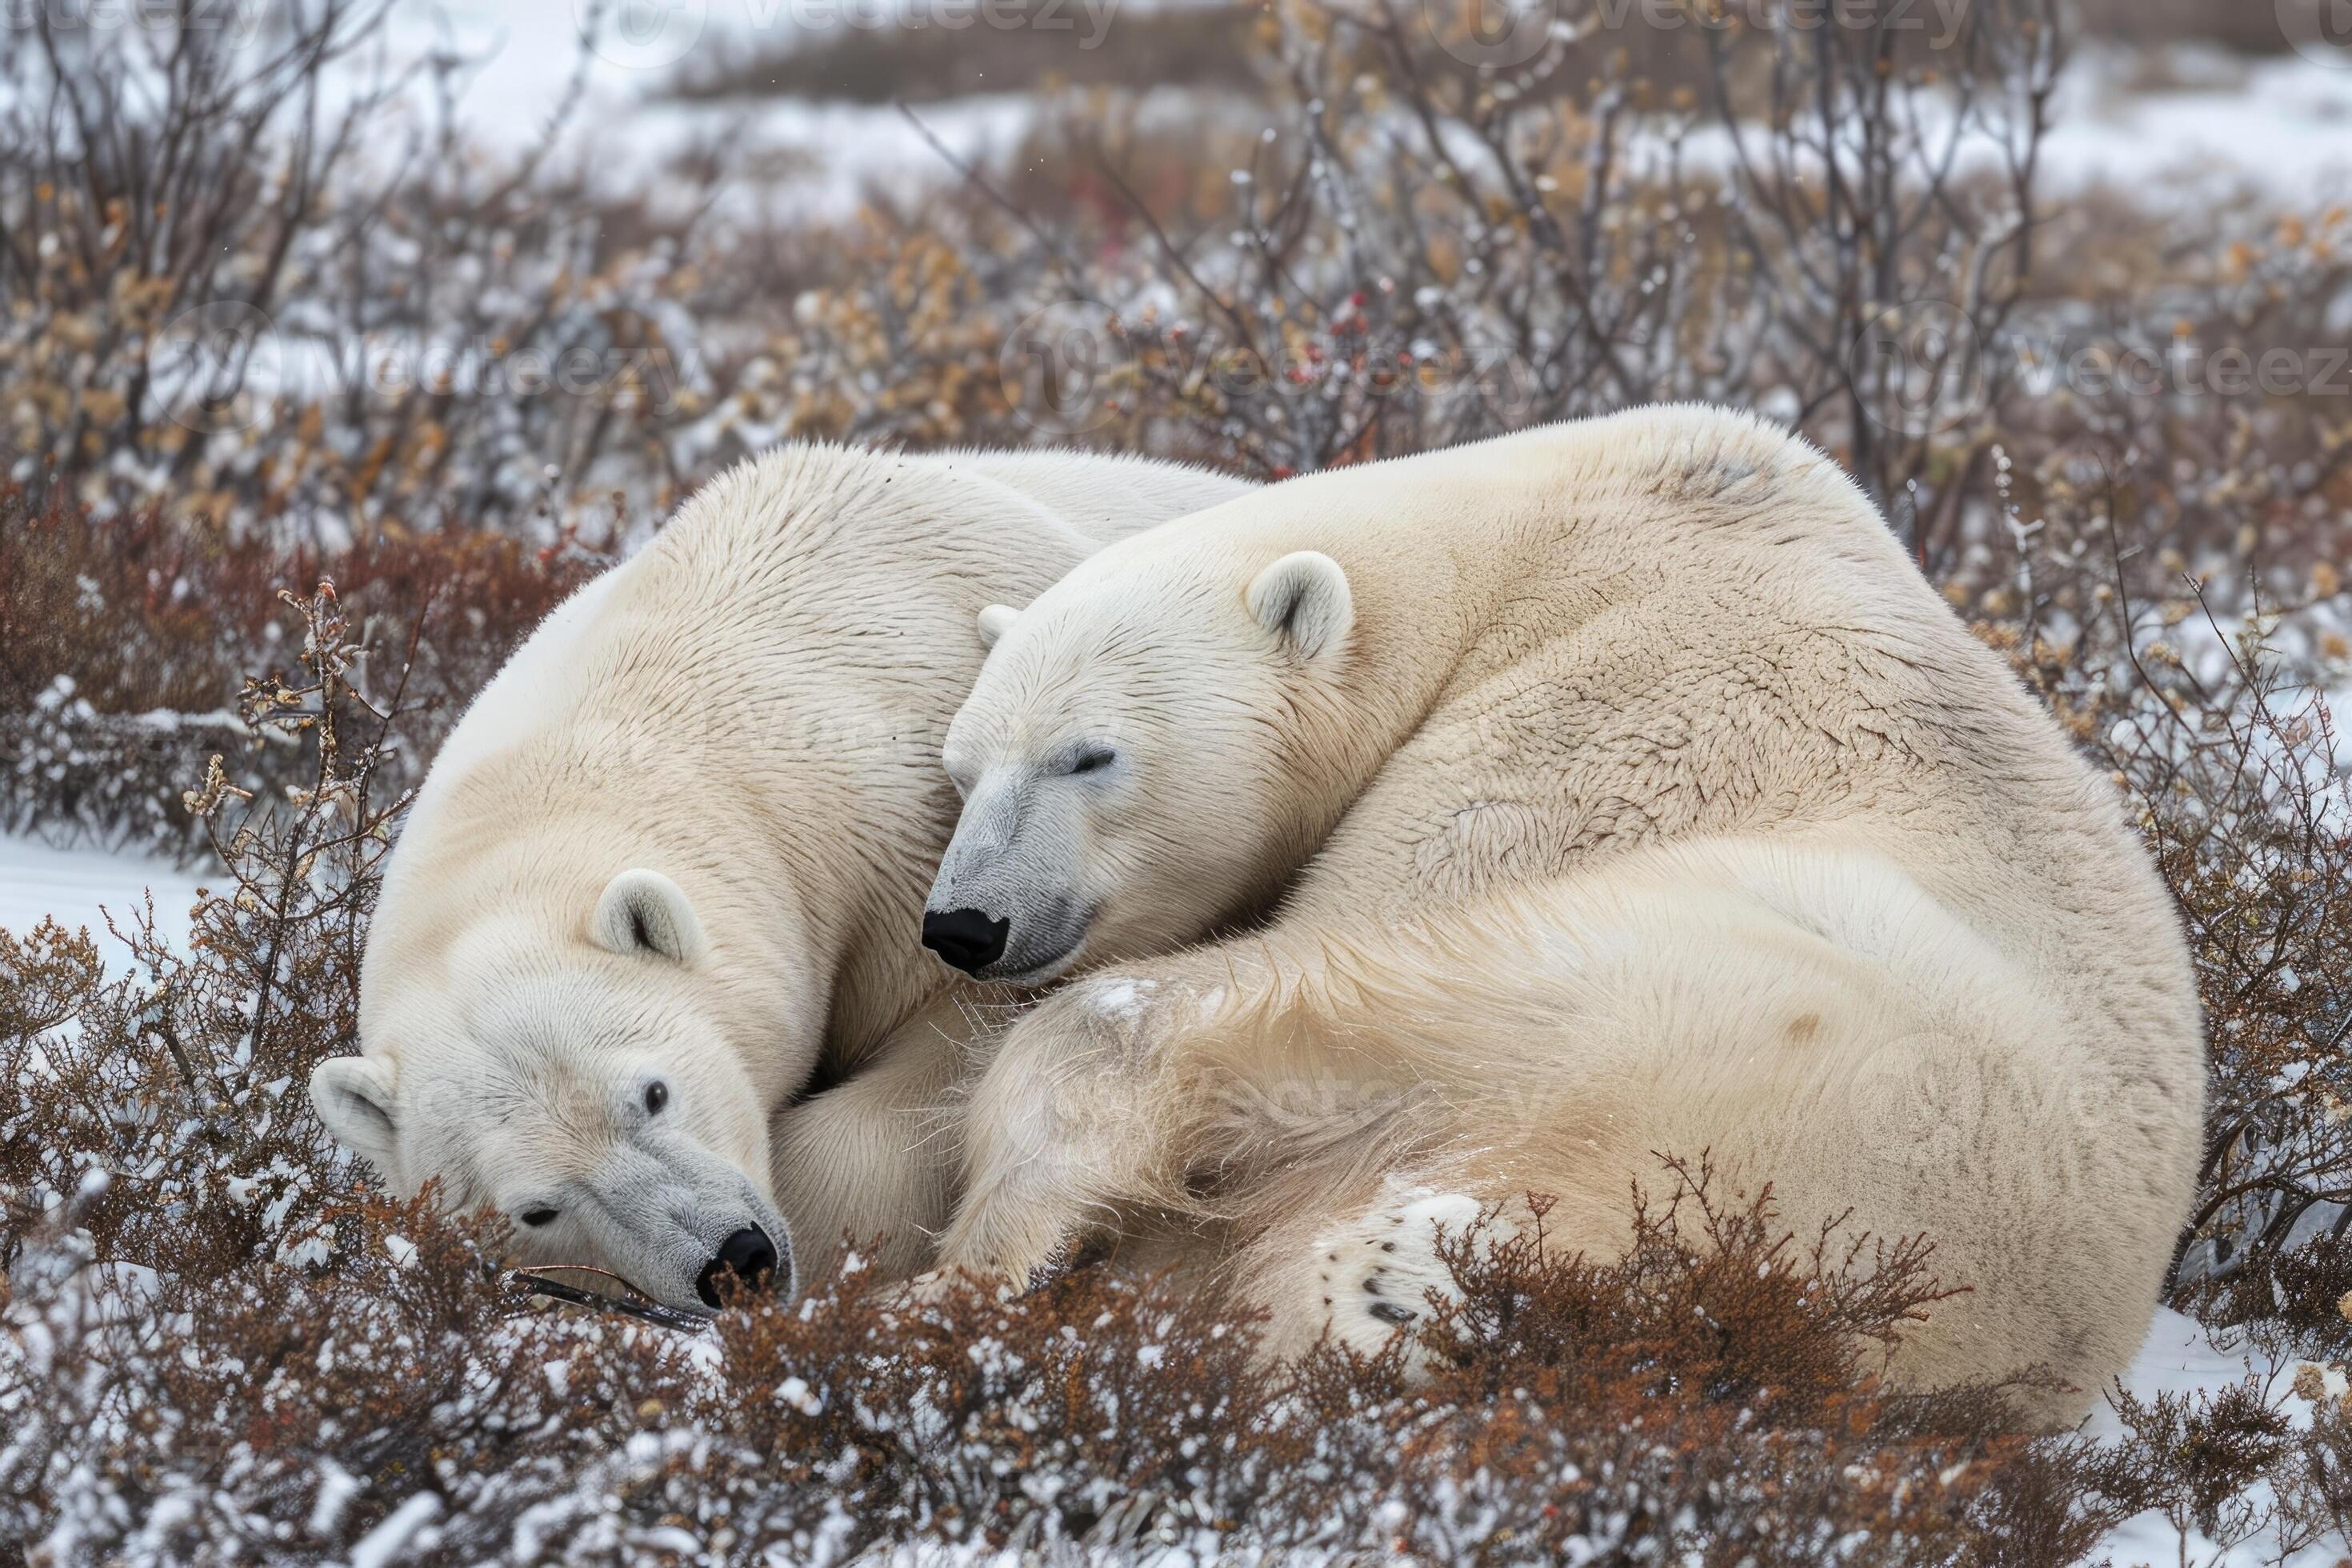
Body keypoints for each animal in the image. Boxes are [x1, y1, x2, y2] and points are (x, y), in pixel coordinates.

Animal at [919, 405, 2203, 1426]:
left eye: (1090, 755)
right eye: (960, 767)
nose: (965, 925)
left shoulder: (1593, 744)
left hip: (1692, 996)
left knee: (1227, 1026)